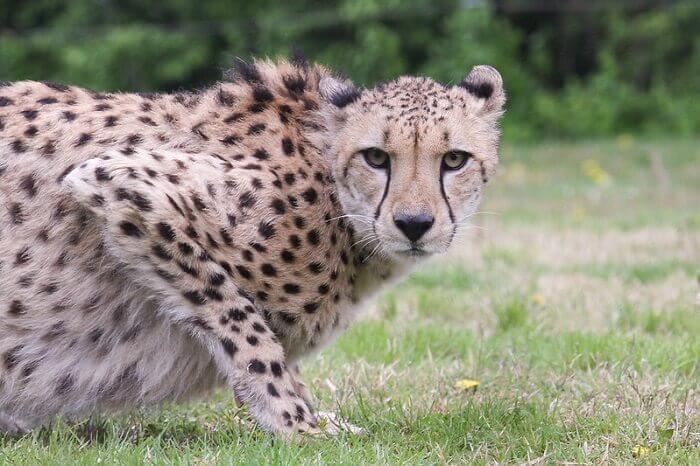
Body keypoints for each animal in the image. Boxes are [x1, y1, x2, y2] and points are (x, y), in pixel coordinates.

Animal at [0, 57, 505, 438]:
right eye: (376, 157)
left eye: (454, 159)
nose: (414, 224)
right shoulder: (122, 184)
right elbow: (245, 325)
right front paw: (296, 423)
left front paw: (313, 416)